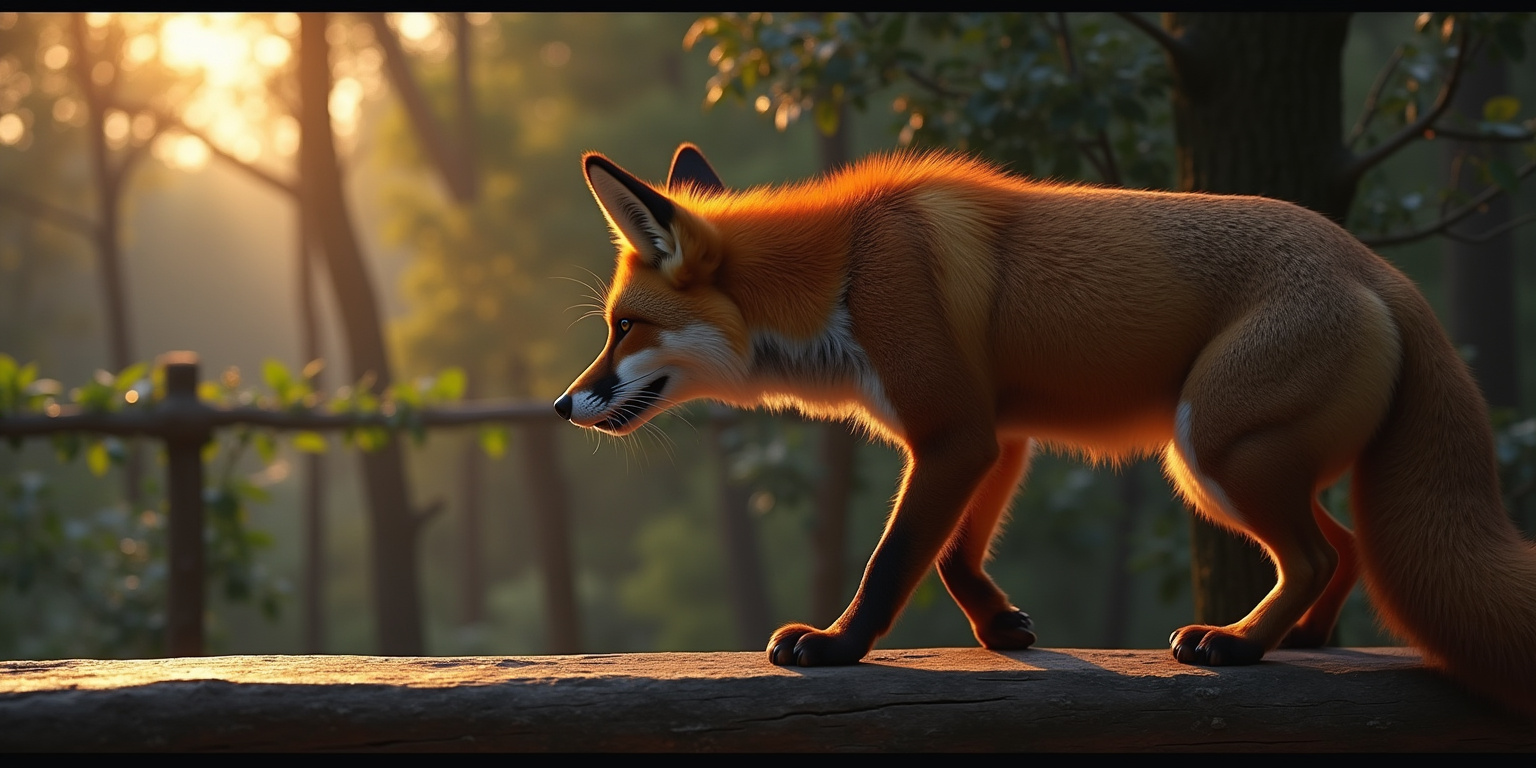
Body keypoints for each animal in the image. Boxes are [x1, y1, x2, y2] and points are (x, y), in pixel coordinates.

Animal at [554, 142, 1536, 716]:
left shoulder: (953, 435)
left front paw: (835, 648)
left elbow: (892, 561)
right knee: (1346, 548)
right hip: (1242, 462)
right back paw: (1300, 638)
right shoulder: (996, 438)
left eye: (624, 327)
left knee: (1319, 552)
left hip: (1209, 449)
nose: (565, 406)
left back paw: (1239, 645)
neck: (847, 273)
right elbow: (953, 558)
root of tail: (1379, 268)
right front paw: (1001, 628)